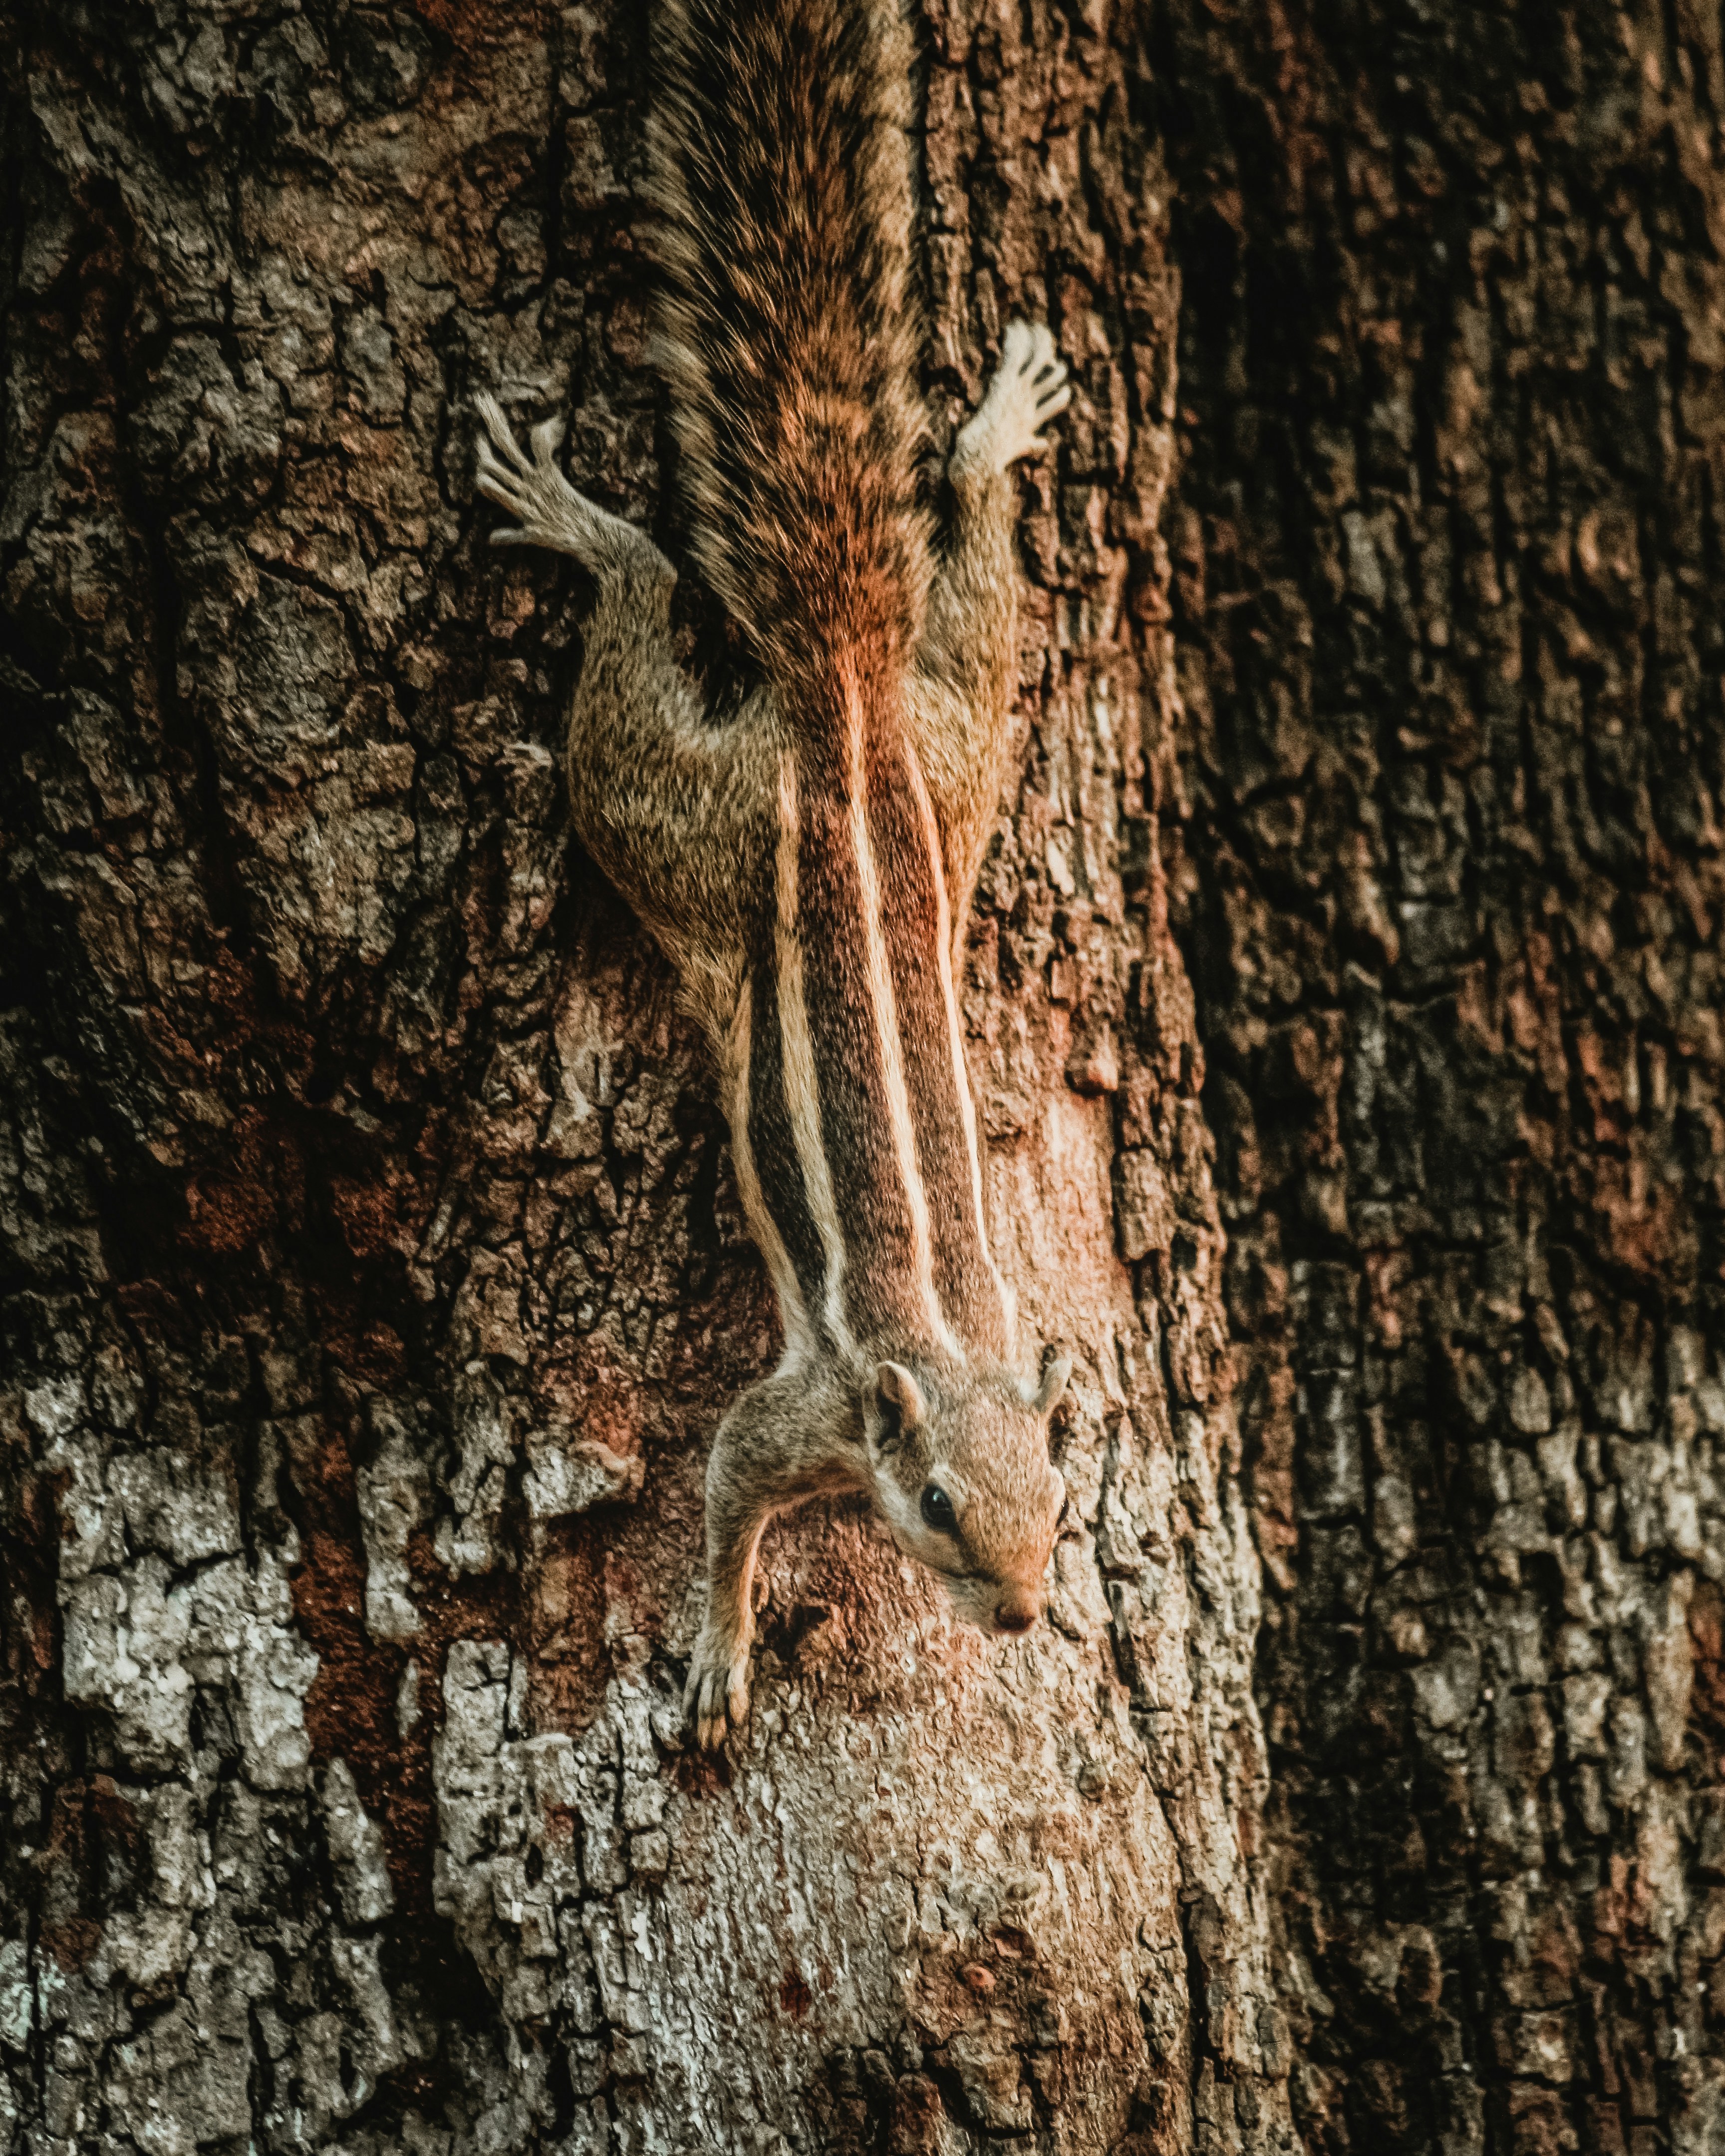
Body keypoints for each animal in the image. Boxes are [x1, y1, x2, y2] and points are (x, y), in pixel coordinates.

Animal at [475, 0, 1073, 1748]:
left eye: (1060, 1499)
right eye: (935, 1506)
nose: (1024, 1614)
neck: (942, 1349)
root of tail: (845, 685)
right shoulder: (801, 1413)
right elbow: (728, 1492)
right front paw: (722, 1650)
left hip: (966, 740)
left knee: (975, 574)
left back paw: (996, 428)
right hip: (680, 819)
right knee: (639, 619)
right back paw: (581, 521)